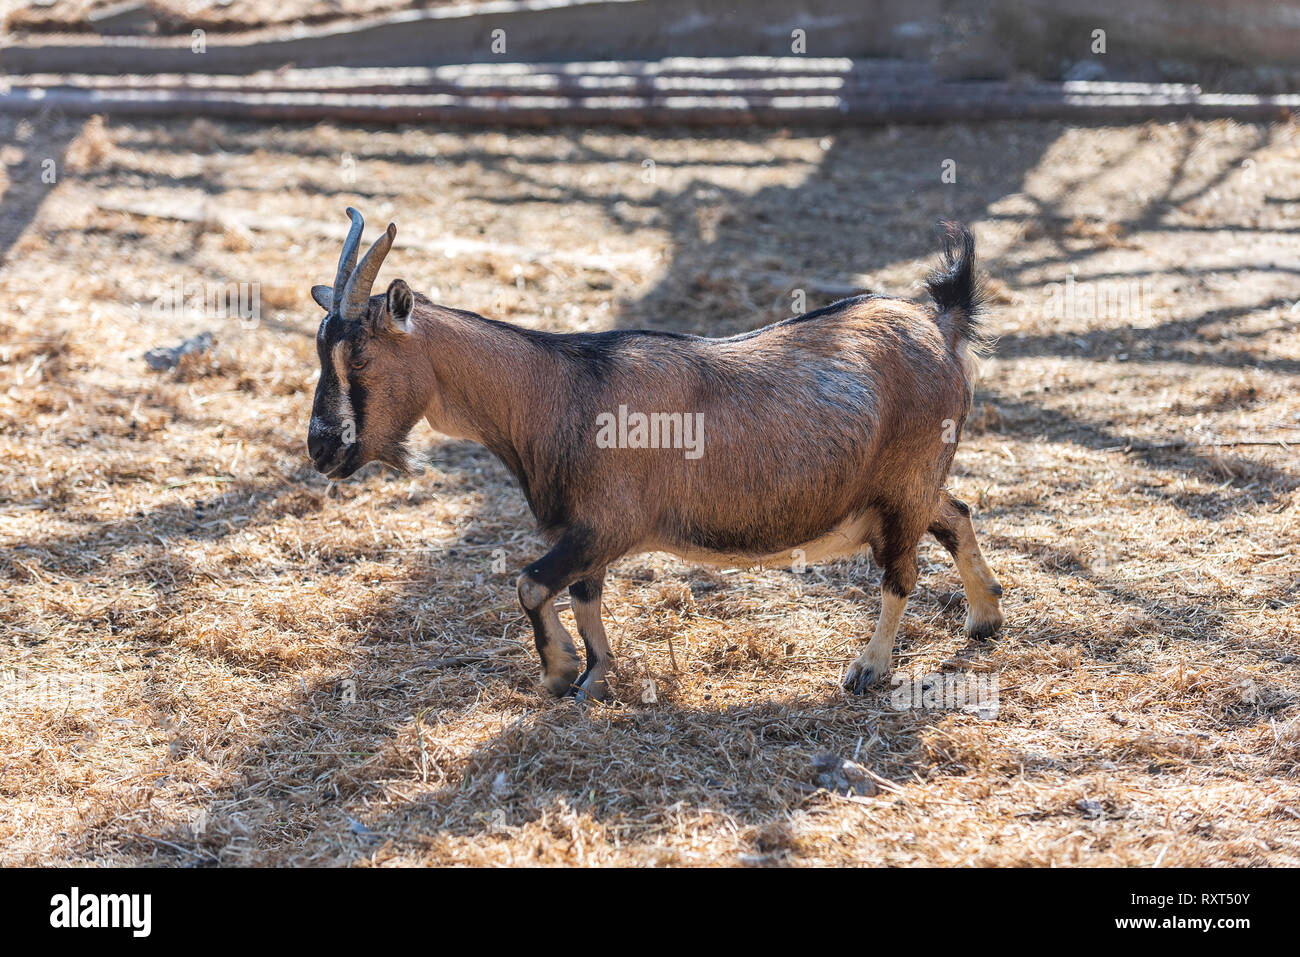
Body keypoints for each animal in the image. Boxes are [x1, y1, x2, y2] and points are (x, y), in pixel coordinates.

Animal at [306, 208, 1004, 700]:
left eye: (359, 358)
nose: (320, 446)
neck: (556, 389)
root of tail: (941, 323)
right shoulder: (582, 533)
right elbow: (583, 596)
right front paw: (594, 676)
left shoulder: (604, 524)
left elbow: (532, 583)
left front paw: (559, 672)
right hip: (908, 485)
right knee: (956, 512)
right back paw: (986, 617)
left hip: (904, 483)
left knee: (900, 571)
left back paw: (868, 668)